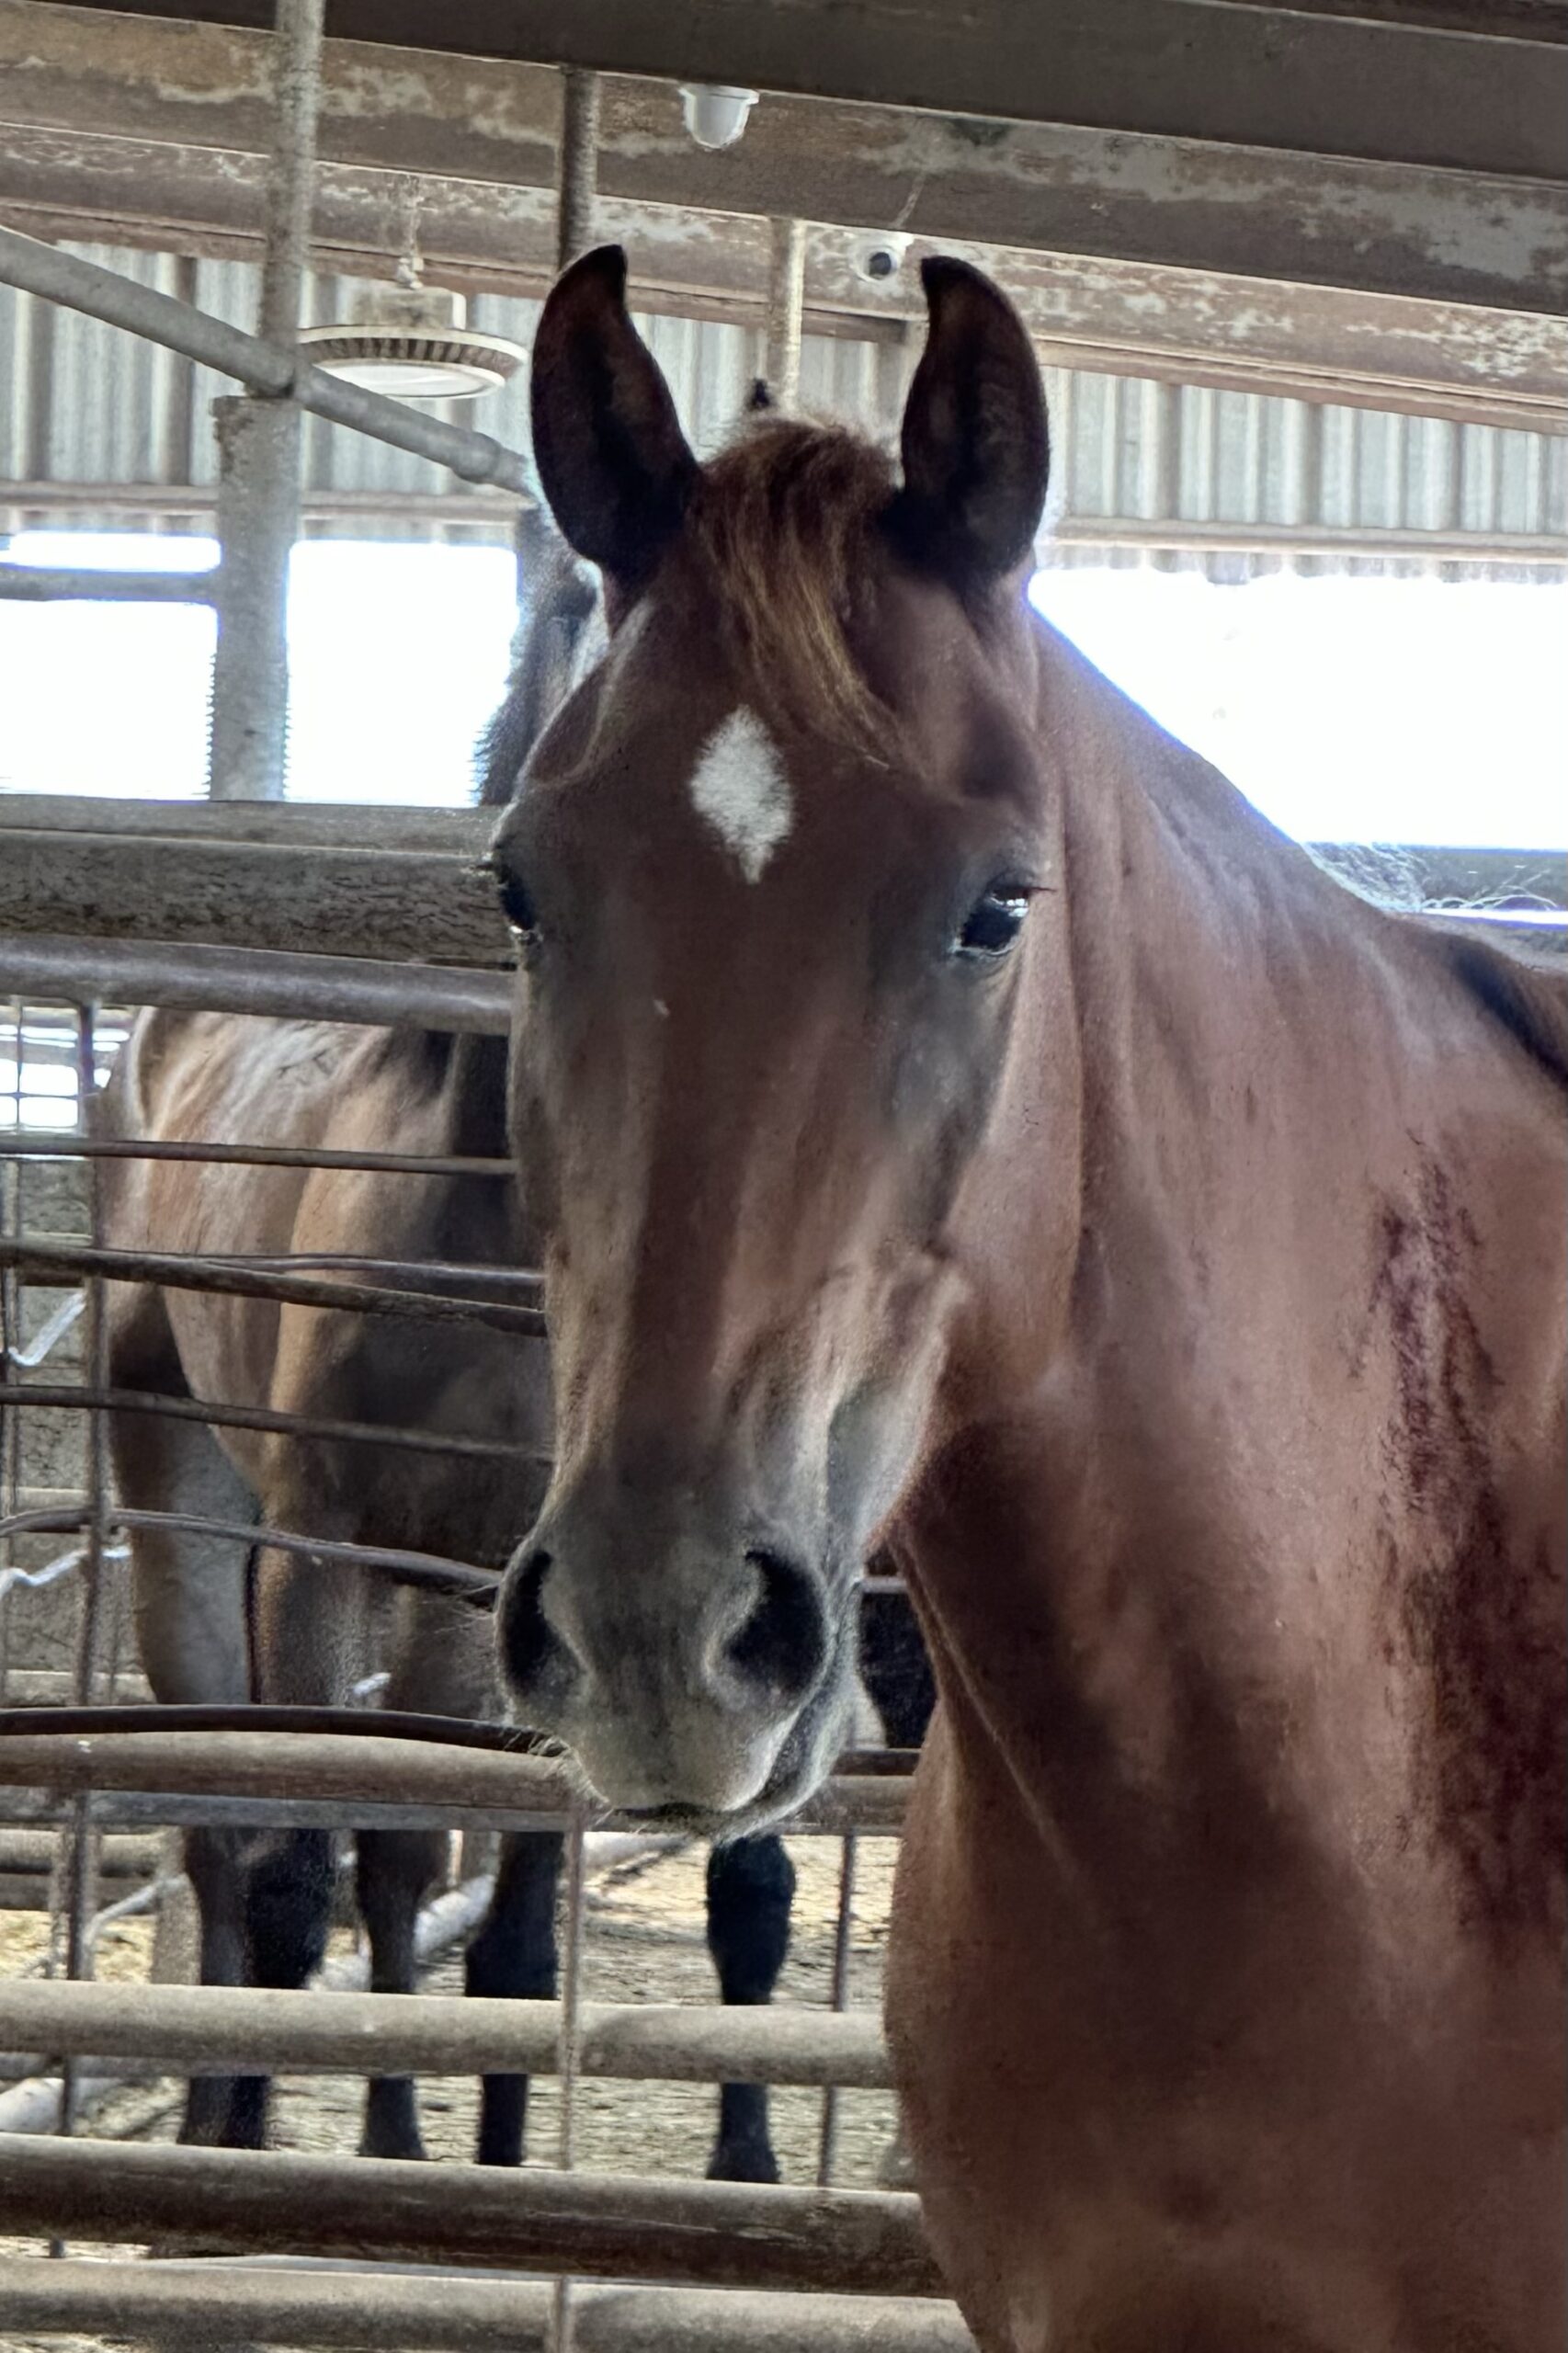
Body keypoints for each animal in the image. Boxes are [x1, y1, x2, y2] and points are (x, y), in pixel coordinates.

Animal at [95, 540, 933, 2182]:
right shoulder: (322, 1542)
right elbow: (298, 1862)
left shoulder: (537, 1590)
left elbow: (503, 1905)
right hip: (181, 1487)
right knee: (221, 1821)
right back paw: (220, 2117)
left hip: (445, 1594)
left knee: (404, 1856)